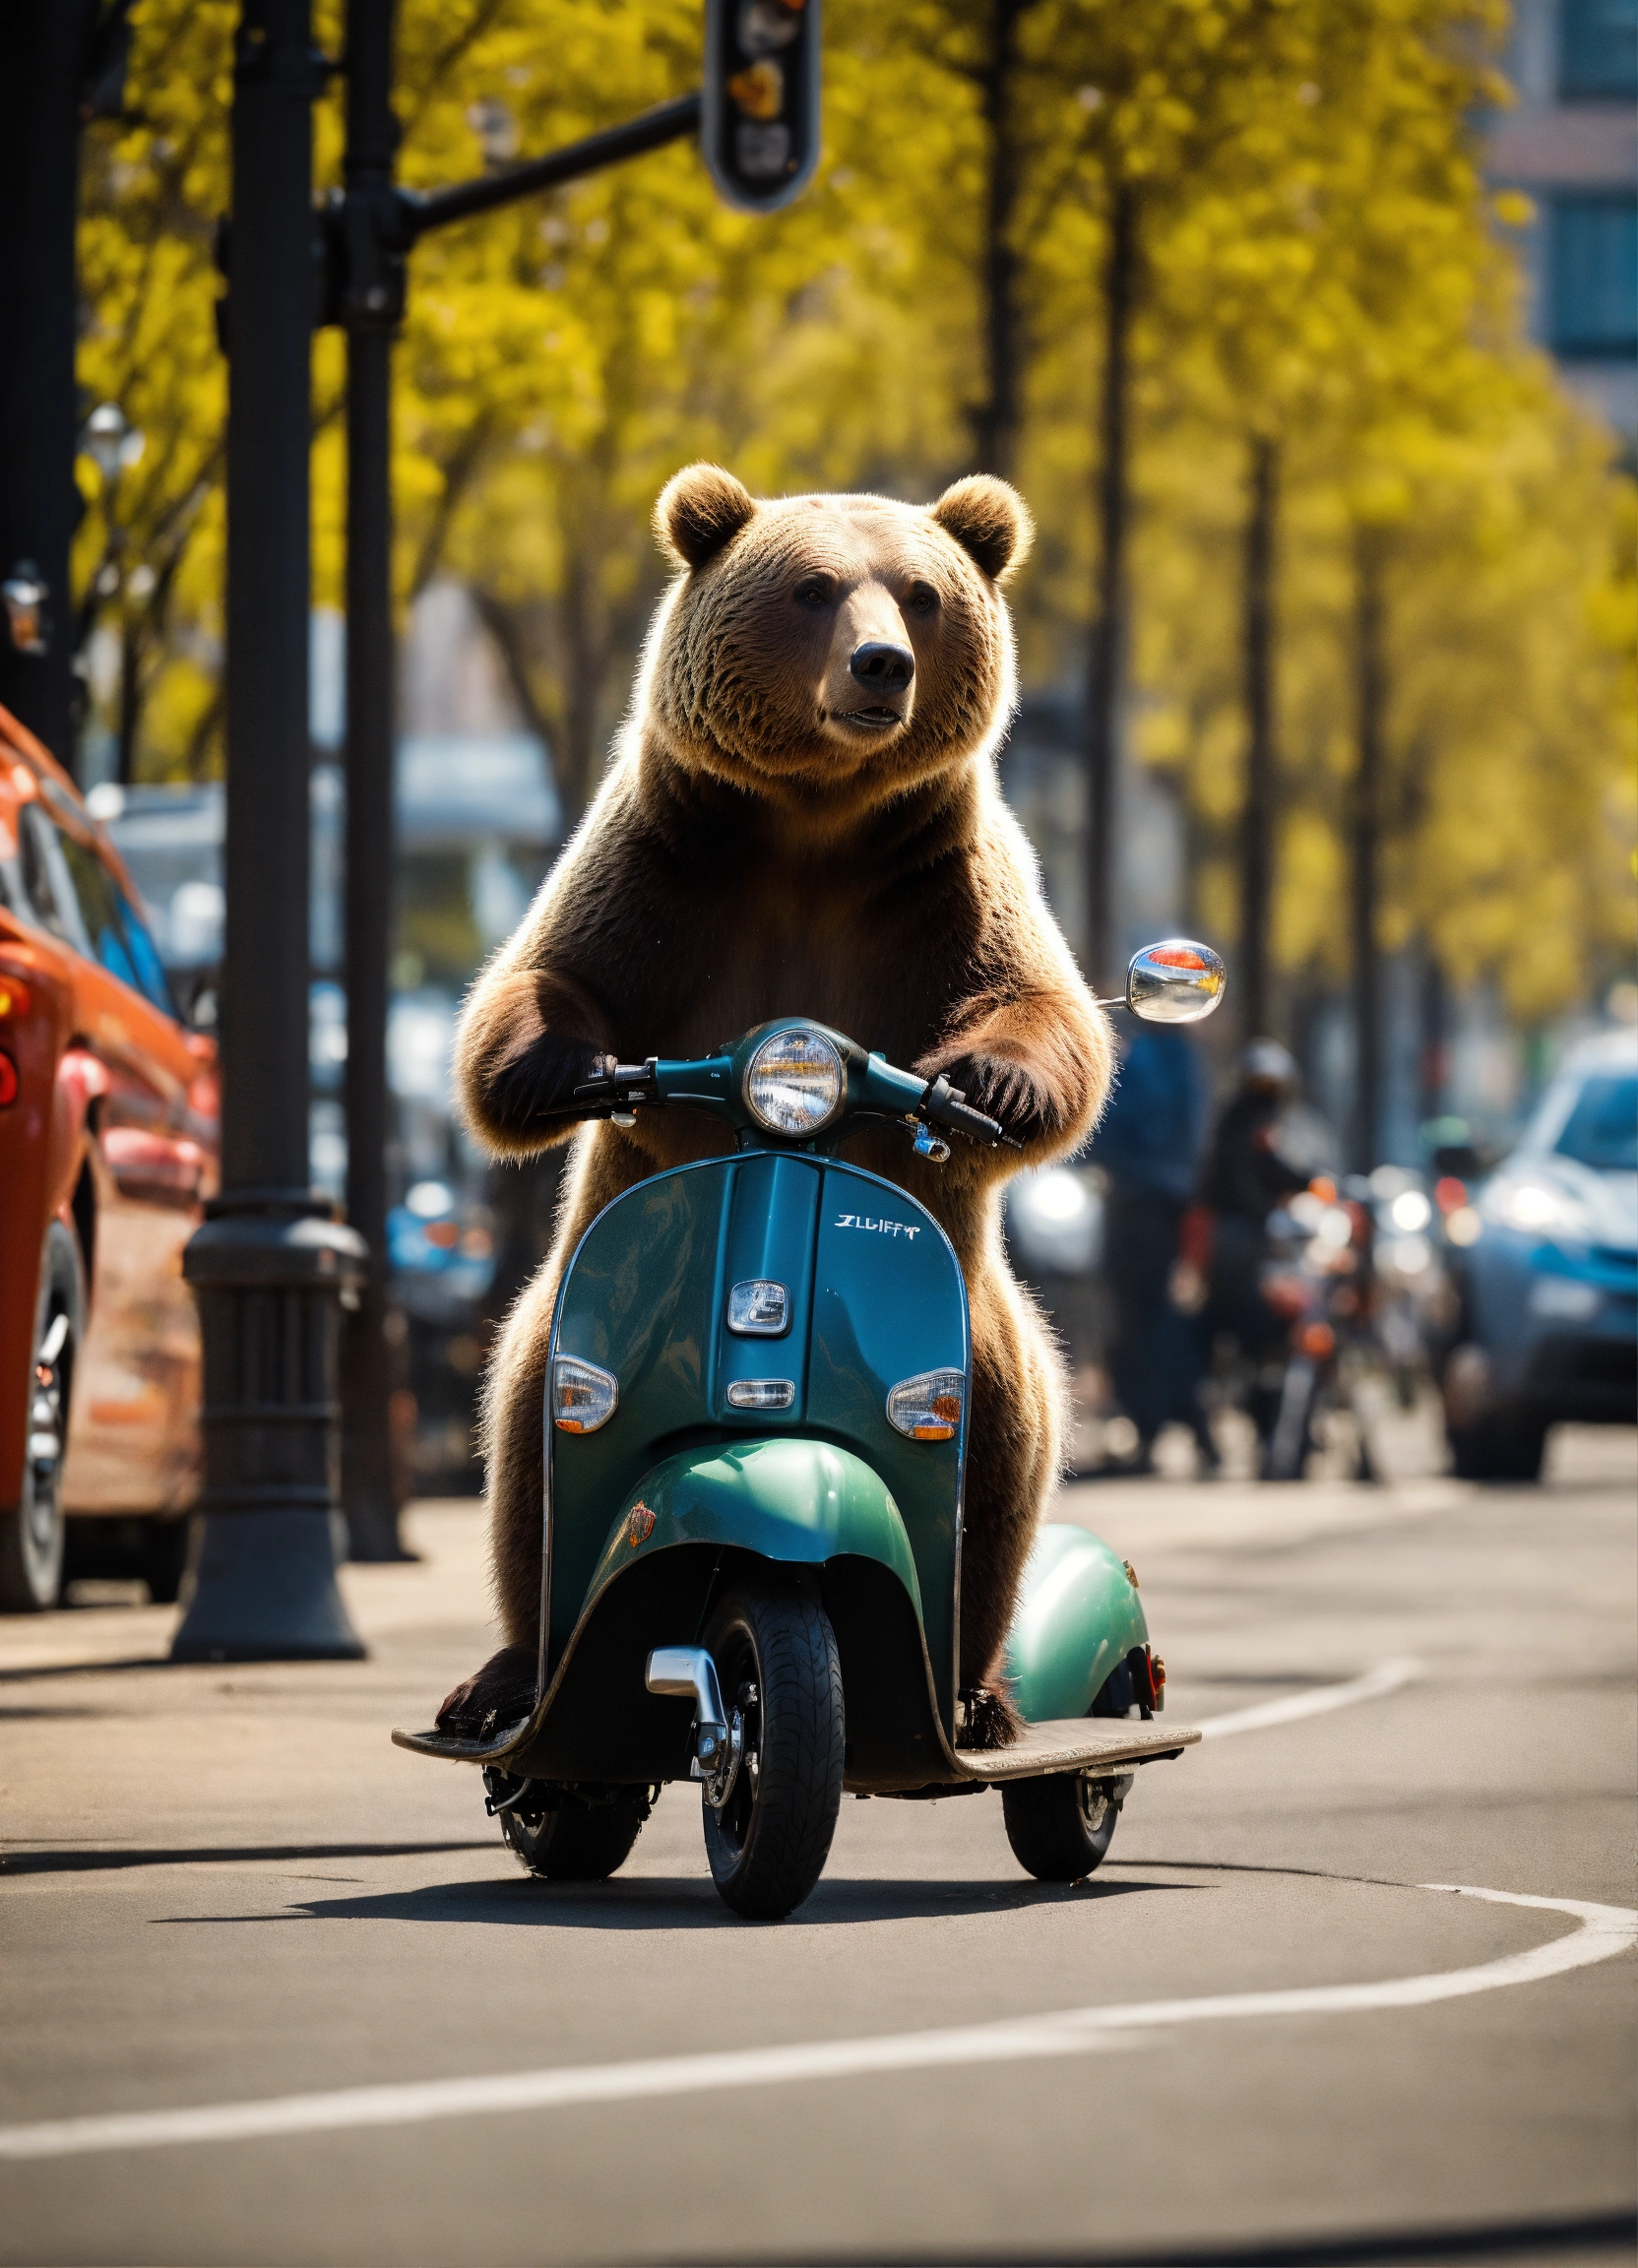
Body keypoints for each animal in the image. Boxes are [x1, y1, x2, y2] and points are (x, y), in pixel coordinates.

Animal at [437, 463, 1113, 1749]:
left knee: (1006, 1456)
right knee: (519, 1436)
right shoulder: (667, 866)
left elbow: (1044, 1008)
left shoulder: (941, 884)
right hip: (554, 1342)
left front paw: (991, 1079)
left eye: (920, 593)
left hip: (990, 1344)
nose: (880, 664)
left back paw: (977, 1694)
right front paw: (551, 1065)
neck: (815, 826)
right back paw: (500, 1678)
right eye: (811, 588)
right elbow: (540, 981)